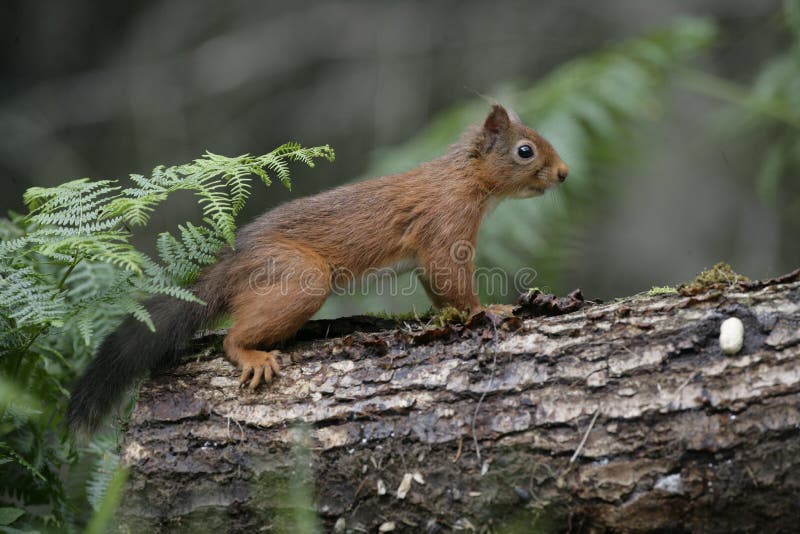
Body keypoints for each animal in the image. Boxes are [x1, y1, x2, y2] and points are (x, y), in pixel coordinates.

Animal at [67, 104, 568, 432]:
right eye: (525, 151)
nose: (564, 174)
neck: (463, 178)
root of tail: (235, 259)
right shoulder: (447, 226)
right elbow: (453, 279)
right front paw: (491, 311)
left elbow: (437, 287)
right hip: (300, 279)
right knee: (232, 337)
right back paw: (250, 354)